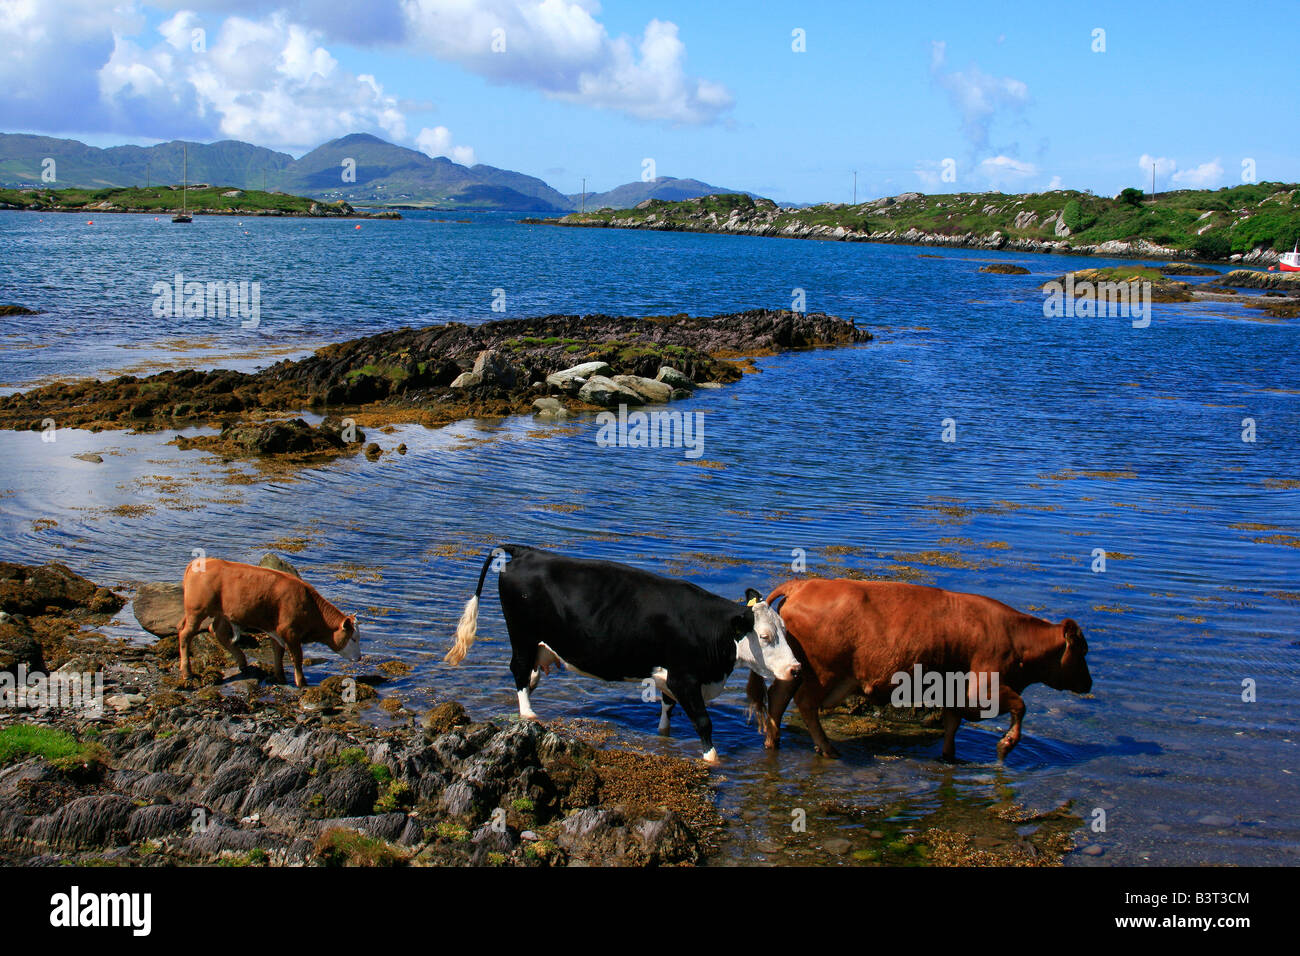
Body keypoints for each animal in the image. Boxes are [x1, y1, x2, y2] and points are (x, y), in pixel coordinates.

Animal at [176, 558, 361, 687]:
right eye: (353, 638)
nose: (359, 658)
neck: (309, 605)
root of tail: (200, 561)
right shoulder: (289, 632)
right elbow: (297, 657)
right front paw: (301, 682)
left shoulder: (276, 631)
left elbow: (278, 652)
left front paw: (281, 677)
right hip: (196, 610)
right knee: (185, 635)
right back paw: (187, 673)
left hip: (221, 612)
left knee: (217, 631)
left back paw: (242, 662)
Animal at [443, 545, 801, 763]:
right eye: (765, 636)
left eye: (785, 630)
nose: (796, 668)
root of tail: (525, 551)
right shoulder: (685, 678)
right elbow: (703, 722)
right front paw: (712, 759)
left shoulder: (670, 677)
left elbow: (667, 710)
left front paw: (664, 735)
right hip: (522, 635)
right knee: (517, 668)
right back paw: (528, 713)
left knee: (528, 672)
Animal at [747, 578, 1092, 762]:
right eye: (1082, 650)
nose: (1088, 683)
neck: (1013, 637)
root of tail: (804, 583)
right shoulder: (982, 691)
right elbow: (1021, 706)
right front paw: (1005, 746)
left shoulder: (956, 692)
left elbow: (952, 724)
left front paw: (949, 756)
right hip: (823, 674)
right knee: (805, 705)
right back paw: (827, 748)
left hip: (796, 669)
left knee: (777, 700)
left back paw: (774, 741)